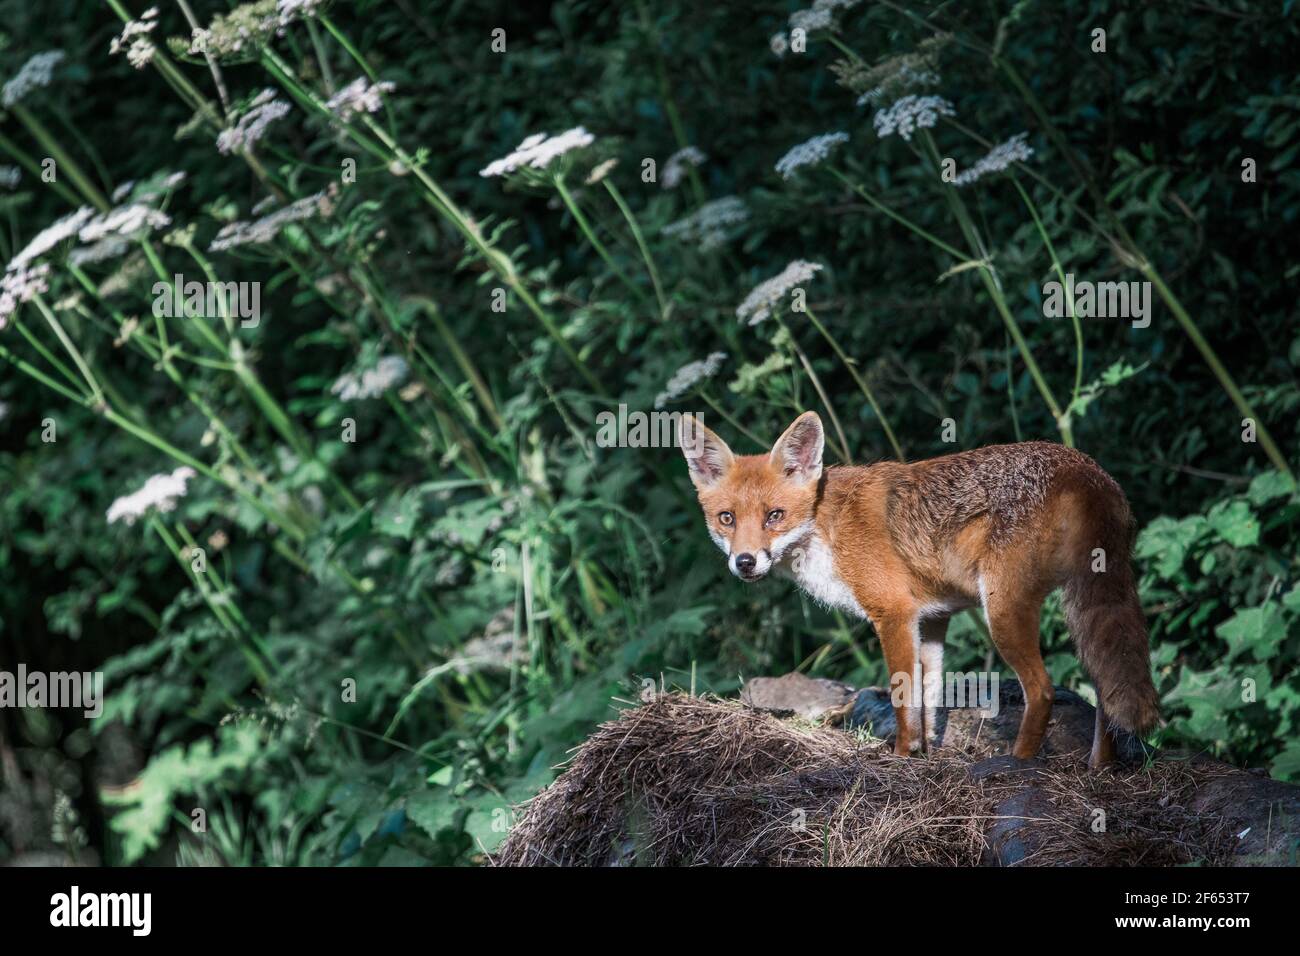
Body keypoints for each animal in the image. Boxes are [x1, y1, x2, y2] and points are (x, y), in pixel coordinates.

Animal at [677, 410, 1160, 767]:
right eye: (726, 519)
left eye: (774, 515)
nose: (745, 562)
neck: (824, 526)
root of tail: (1085, 467)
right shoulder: (933, 619)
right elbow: (927, 699)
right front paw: (925, 756)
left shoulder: (893, 613)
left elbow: (901, 696)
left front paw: (900, 755)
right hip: (1081, 605)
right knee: (1105, 691)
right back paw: (1099, 768)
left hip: (1003, 612)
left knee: (1042, 690)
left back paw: (1016, 763)